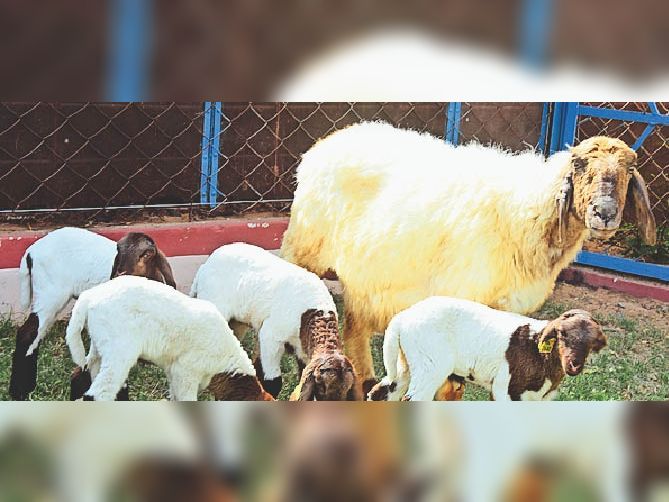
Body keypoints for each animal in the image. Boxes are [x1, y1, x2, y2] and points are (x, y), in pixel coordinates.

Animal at [9, 227, 176, 400]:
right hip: (50, 295)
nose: (119, 274)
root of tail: (31, 251)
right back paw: (20, 391)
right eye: (118, 250)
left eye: (148, 253)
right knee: (28, 334)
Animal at [65, 275, 272, 401]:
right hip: (119, 350)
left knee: (89, 367)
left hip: (100, 344)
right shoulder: (186, 371)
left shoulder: (174, 371)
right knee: (99, 392)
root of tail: (90, 298)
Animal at [190, 242, 359, 399]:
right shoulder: (271, 337)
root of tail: (205, 266)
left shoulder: (304, 350)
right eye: (321, 388)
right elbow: (273, 382)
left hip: (237, 322)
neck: (311, 315)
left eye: (346, 391)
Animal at [367, 296, 607, 401]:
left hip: (408, 361)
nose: (574, 365)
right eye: (561, 335)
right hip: (430, 364)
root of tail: (402, 317)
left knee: (384, 391)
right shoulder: (506, 389)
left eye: (591, 343)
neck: (540, 353)